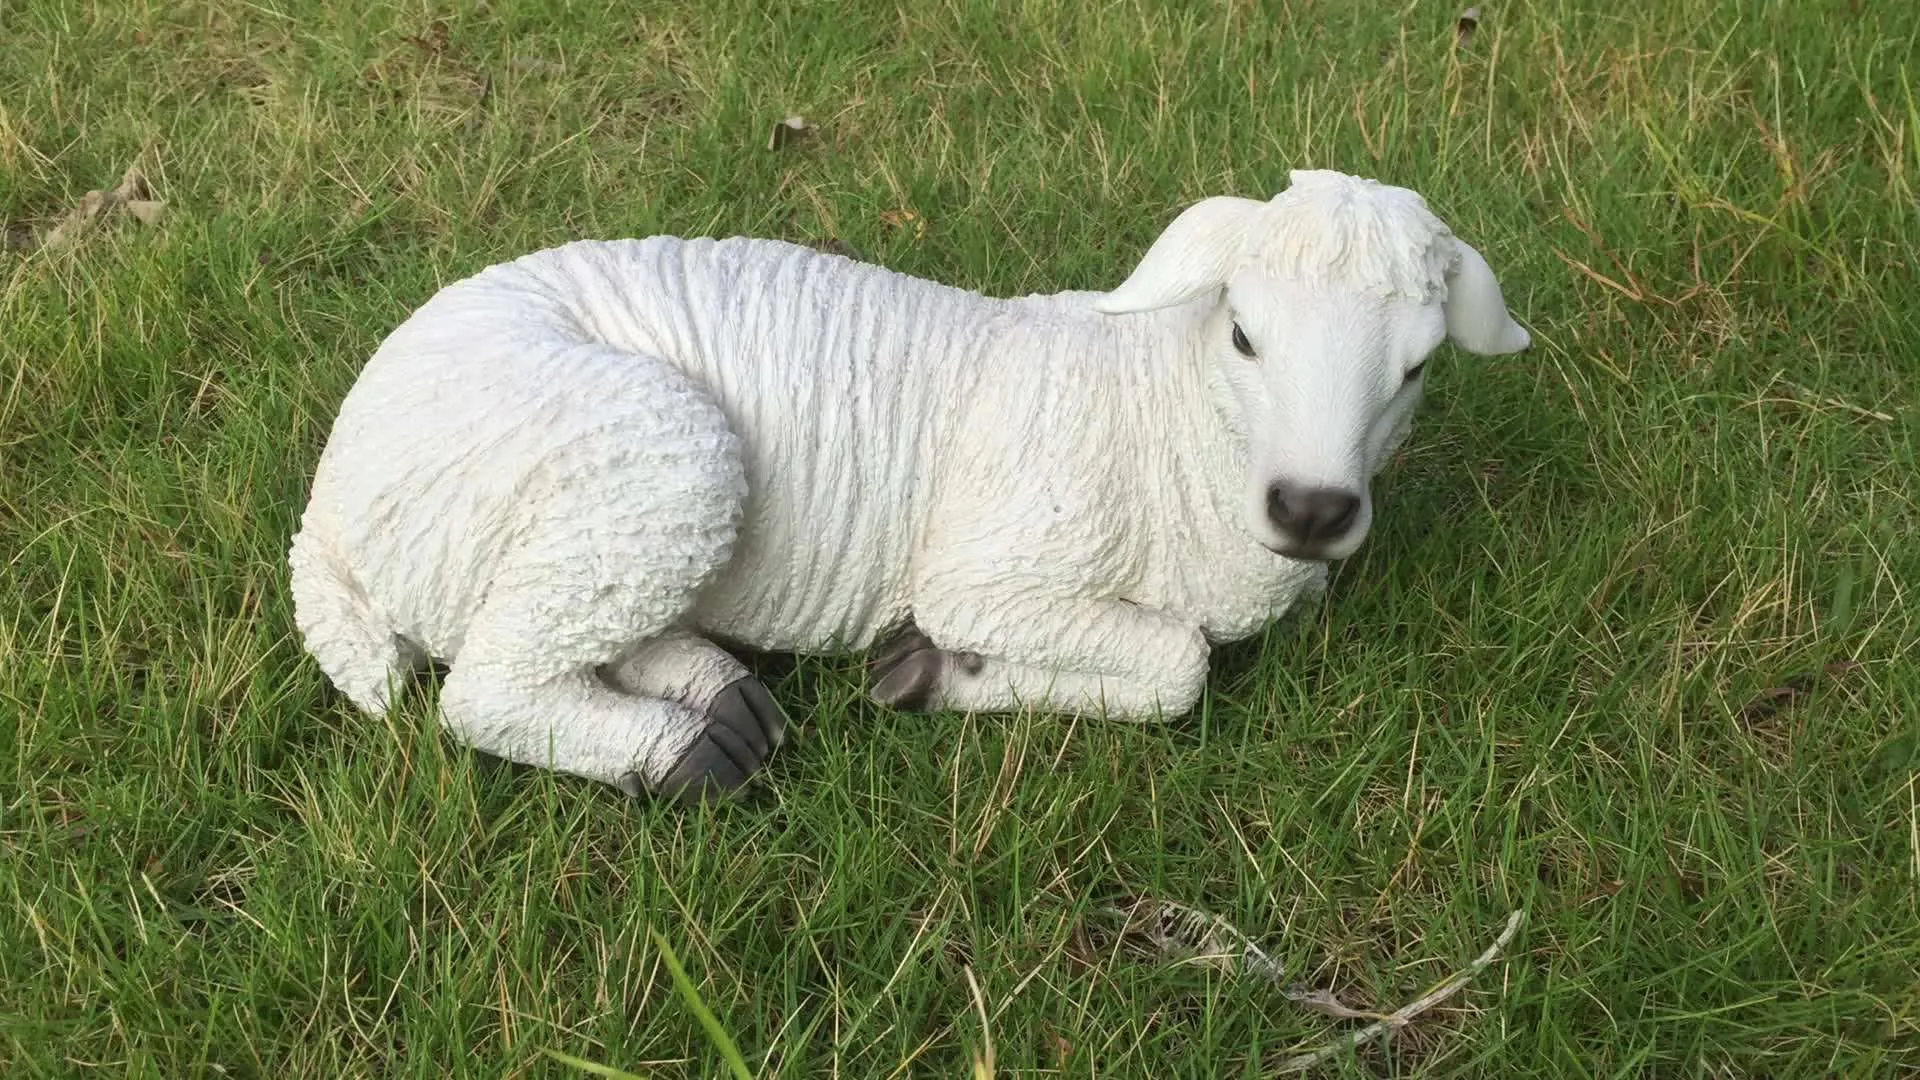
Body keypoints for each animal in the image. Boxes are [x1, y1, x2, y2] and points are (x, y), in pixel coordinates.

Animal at [287, 168, 1531, 803]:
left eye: (1417, 369)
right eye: (1243, 336)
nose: (1312, 512)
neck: (1167, 418)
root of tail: (326, 515)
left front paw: (938, 674)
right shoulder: (990, 568)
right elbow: (1179, 668)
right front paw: (952, 665)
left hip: (590, 526)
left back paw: (722, 699)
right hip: (656, 457)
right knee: (482, 691)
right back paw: (680, 754)